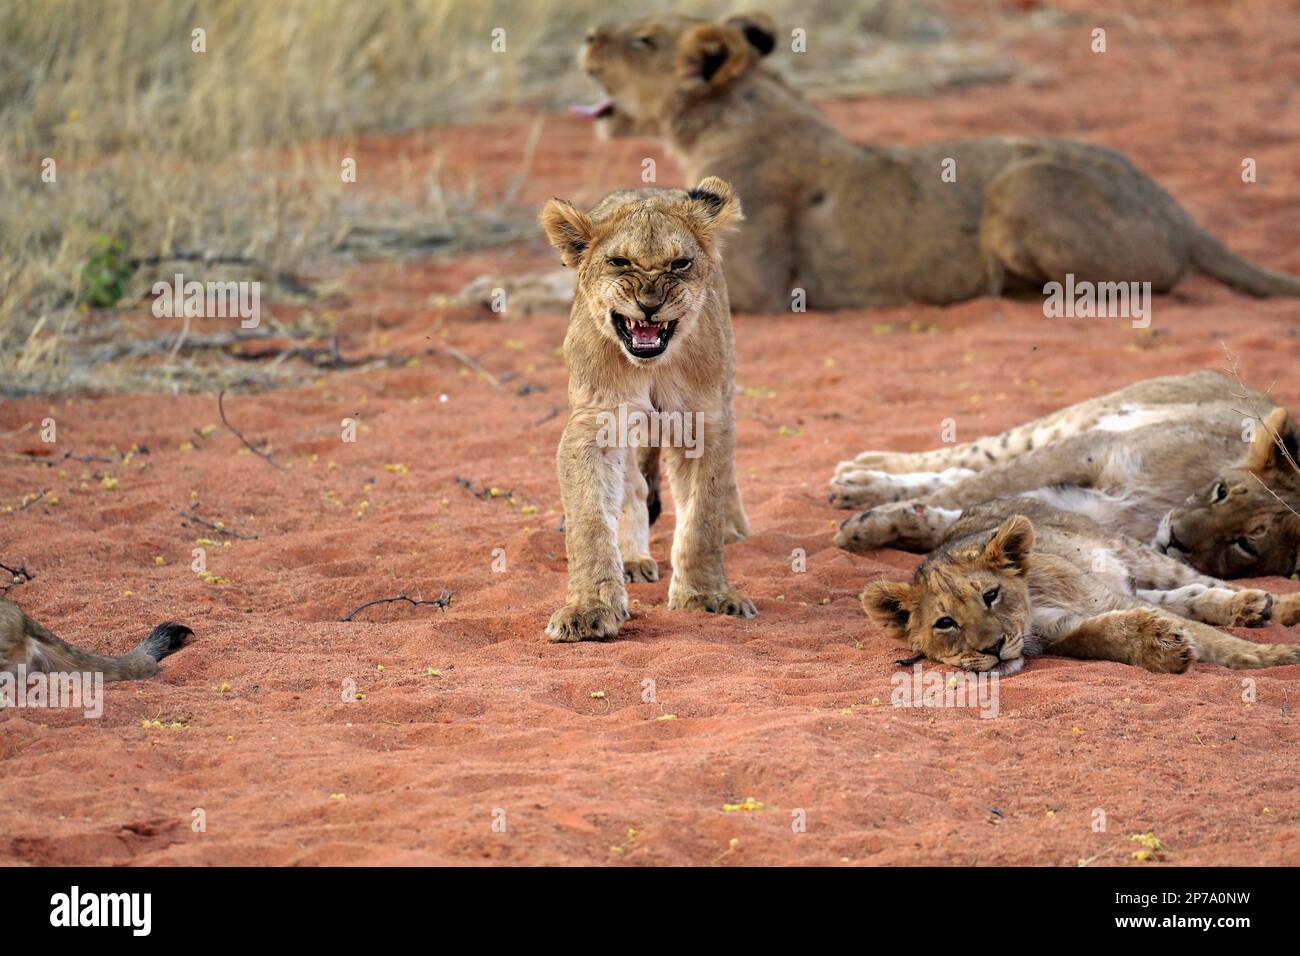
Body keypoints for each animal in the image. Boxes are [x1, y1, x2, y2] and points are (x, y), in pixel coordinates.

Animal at [539, 177, 755, 642]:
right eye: (620, 262)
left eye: (679, 263)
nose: (650, 304)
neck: (651, 365)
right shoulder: (594, 423)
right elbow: (589, 521)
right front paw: (589, 609)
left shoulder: (704, 422)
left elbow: (702, 517)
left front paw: (706, 596)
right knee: (633, 487)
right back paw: (635, 560)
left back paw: (734, 527)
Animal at [832, 371, 1300, 588]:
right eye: (1222, 492)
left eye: (1244, 544)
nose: (1176, 540)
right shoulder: (1093, 449)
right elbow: (965, 490)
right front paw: (862, 525)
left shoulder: (1088, 510)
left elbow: (962, 510)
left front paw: (885, 524)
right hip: (1072, 422)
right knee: (972, 456)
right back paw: (857, 476)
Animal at [862, 498, 1300, 675]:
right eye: (945, 624)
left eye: (990, 595)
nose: (993, 649)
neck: (1032, 609)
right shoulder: (1063, 630)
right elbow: (1099, 635)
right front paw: (1159, 645)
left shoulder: (1102, 595)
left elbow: (1220, 643)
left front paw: (1282, 657)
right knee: (1181, 596)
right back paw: (1248, 606)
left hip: (1136, 553)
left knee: (1194, 581)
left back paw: (1280, 606)